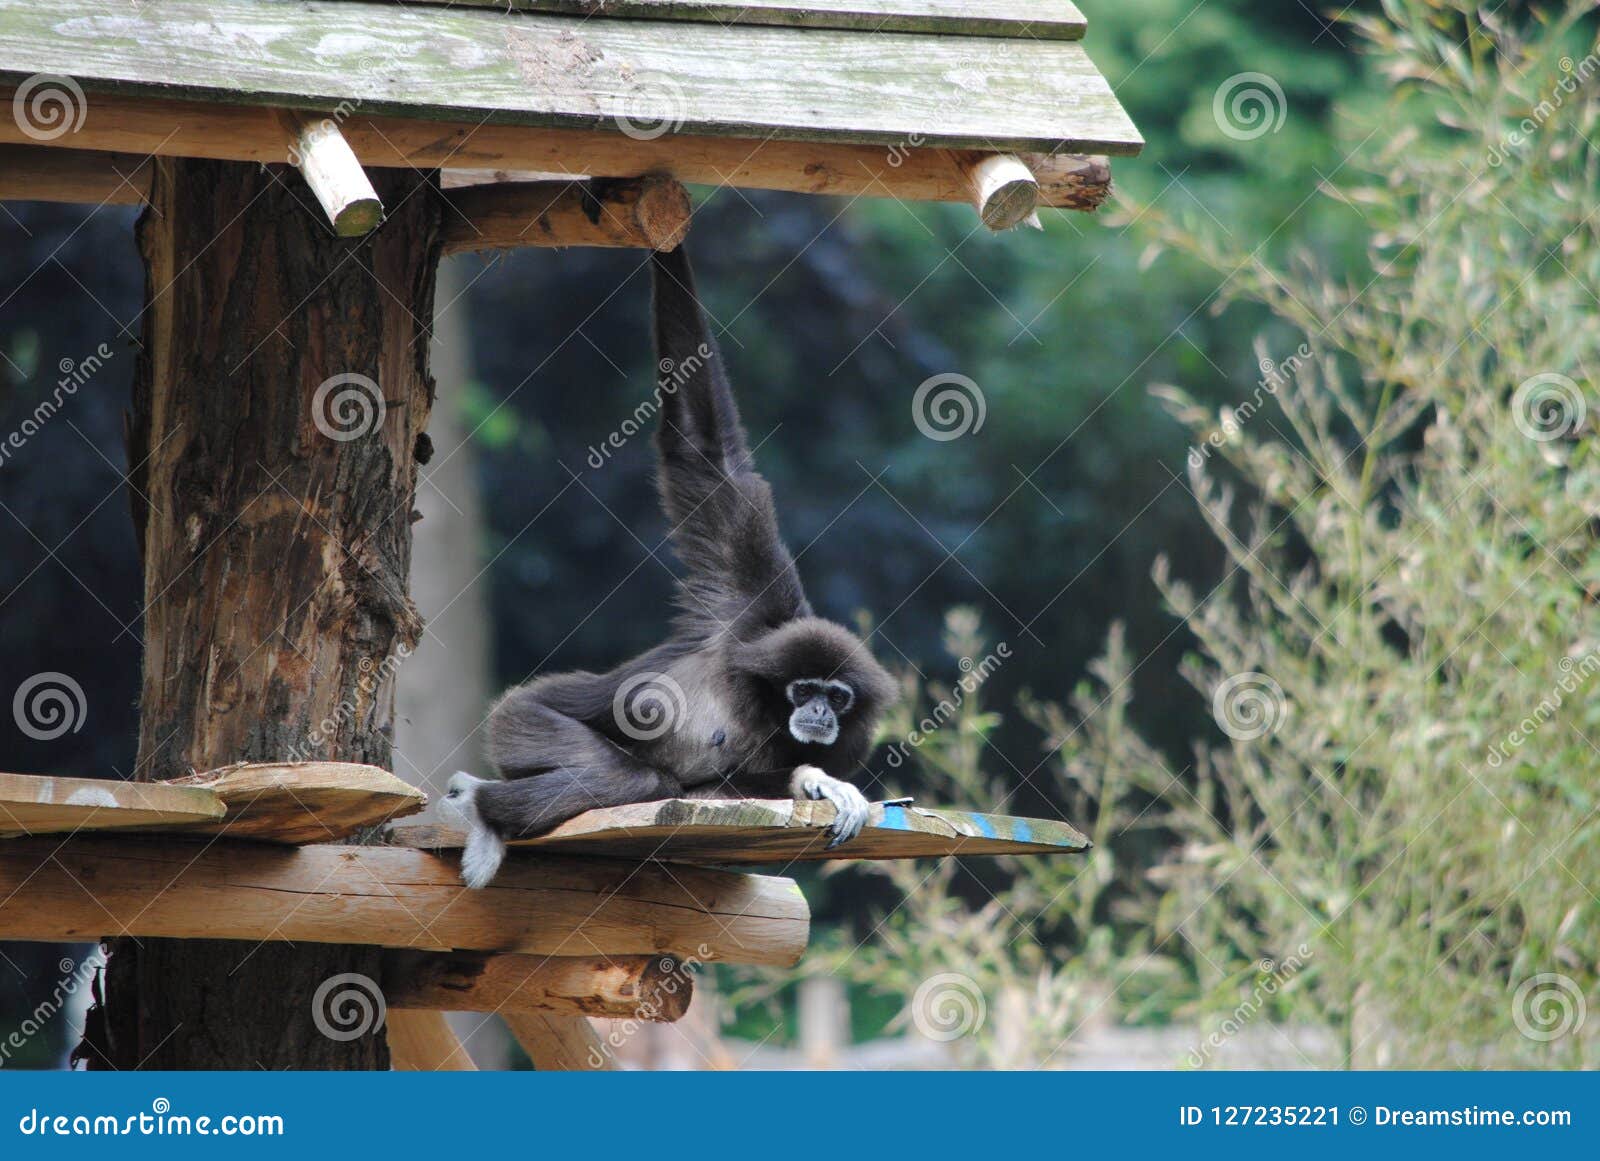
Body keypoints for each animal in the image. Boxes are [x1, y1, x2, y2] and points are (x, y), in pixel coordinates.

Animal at [441, 245, 898, 889]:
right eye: (805, 689)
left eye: (836, 698)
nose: (814, 711)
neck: (763, 703)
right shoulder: (748, 604)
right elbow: (708, 455)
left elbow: (714, 788)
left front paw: (814, 778)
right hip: (522, 718)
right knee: (632, 775)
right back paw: (483, 811)